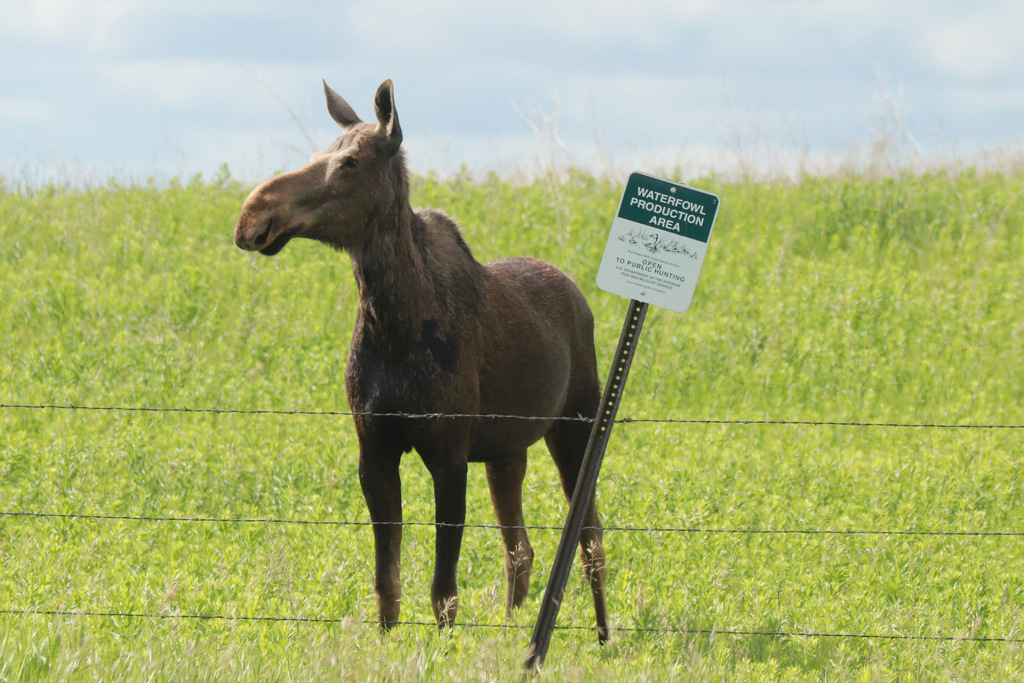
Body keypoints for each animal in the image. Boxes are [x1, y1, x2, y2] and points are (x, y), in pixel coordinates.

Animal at [233, 79, 608, 642]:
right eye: (316, 155)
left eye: (350, 162)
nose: (253, 216)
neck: (393, 324)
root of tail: (579, 296)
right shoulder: (375, 449)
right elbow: (386, 583)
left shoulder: (448, 452)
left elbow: (443, 590)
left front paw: (443, 649)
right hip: (506, 451)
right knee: (519, 548)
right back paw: (511, 628)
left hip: (576, 426)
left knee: (590, 537)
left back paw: (606, 636)